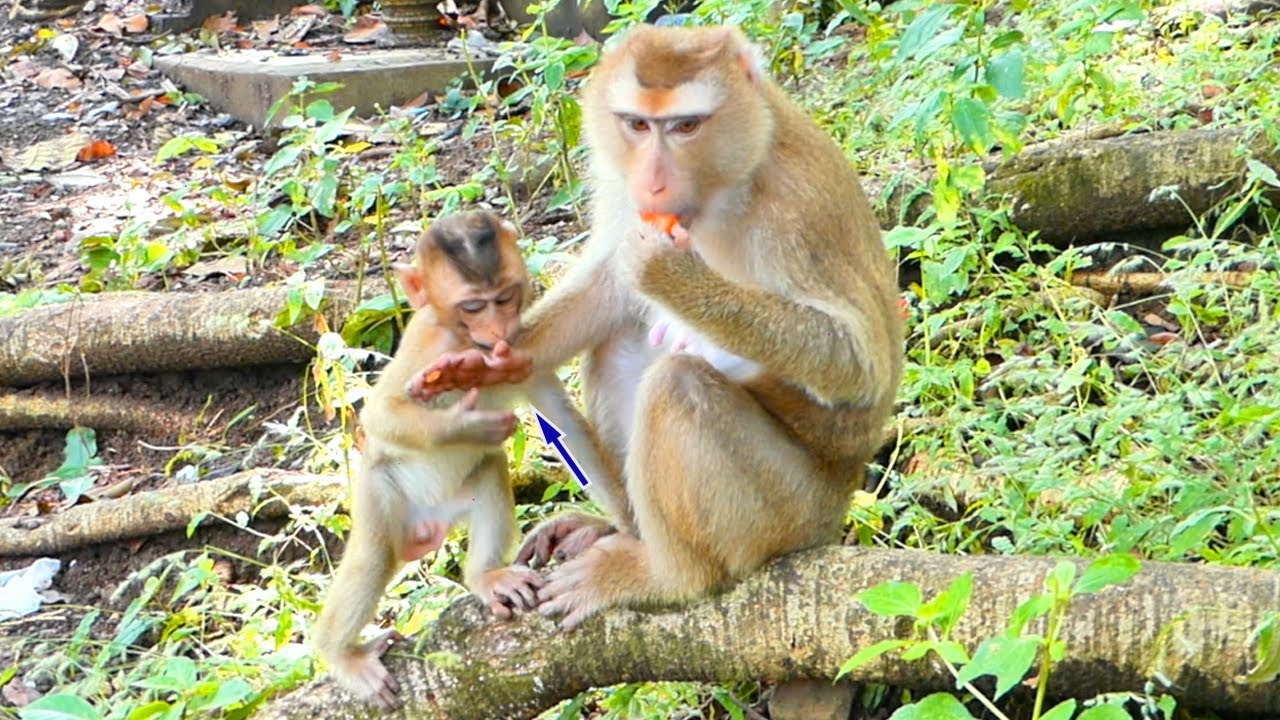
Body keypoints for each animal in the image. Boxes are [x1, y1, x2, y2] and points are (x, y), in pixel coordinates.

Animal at [312, 210, 623, 708]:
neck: (468, 345)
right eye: (473, 307)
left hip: (459, 499)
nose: (496, 333)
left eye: (506, 296)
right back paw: (340, 655)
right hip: (383, 495)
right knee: (373, 557)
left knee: (491, 472)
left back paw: (486, 576)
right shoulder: (429, 345)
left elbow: (566, 426)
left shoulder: (519, 355)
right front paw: (466, 424)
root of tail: (429, 527)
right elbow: (381, 415)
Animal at [414, 25, 903, 630]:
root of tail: (837, 510)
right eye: (638, 125)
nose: (651, 181)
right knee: (618, 345)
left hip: (790, 511)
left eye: (686, 126)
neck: (725, 189)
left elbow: (860, 364)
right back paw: (619, 528)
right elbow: (608, 289)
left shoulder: (796, 210)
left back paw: (666, 575)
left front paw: (667, 273)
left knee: (679, 386)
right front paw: (493, 364)